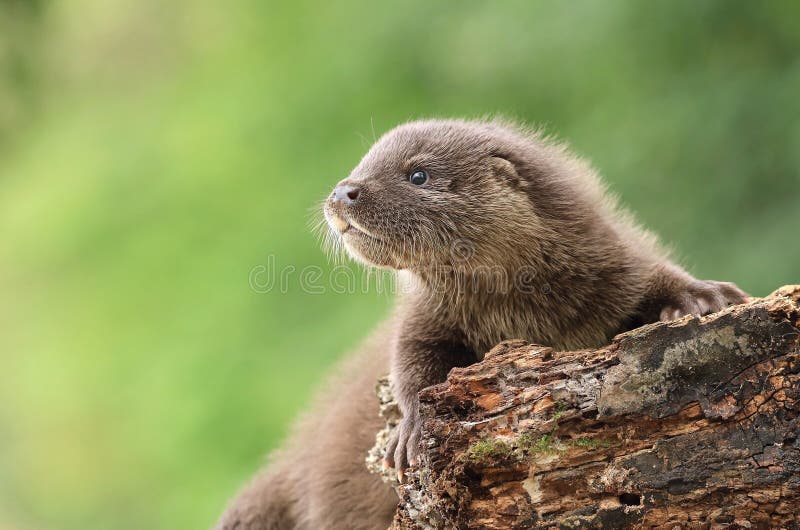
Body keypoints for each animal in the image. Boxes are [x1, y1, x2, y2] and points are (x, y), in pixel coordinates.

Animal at [214, 119, 746, 530]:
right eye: (363, 163)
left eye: (418, 173)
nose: (344, 190)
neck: (520, 310)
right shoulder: (425, 317)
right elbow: (411, 364)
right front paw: (410, 430)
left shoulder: (615, 264)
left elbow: (656, 274)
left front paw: (703, 295)